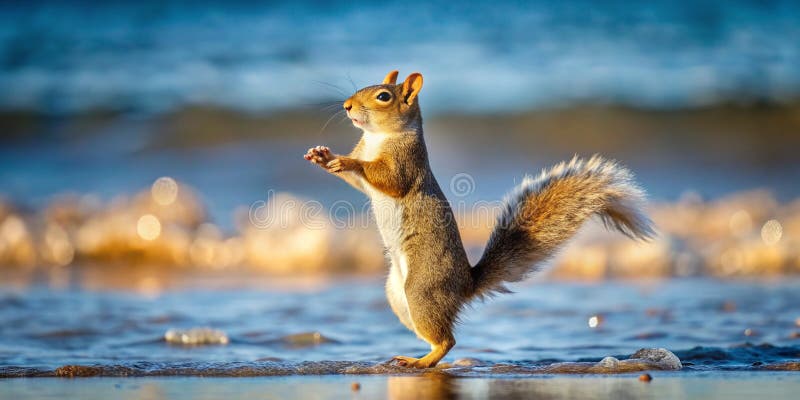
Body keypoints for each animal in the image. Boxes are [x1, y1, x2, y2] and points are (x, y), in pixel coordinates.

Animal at [303, 70, 655, 368]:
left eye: (383, 96)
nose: (347, 106)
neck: (378, 137)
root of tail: (466, 285)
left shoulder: (406, 163)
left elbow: (387, 179)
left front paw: (346, 161)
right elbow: (358, 183)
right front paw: (324, 157)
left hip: (422, 291)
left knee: (448, 340)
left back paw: (421, 362)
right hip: (399, 296)